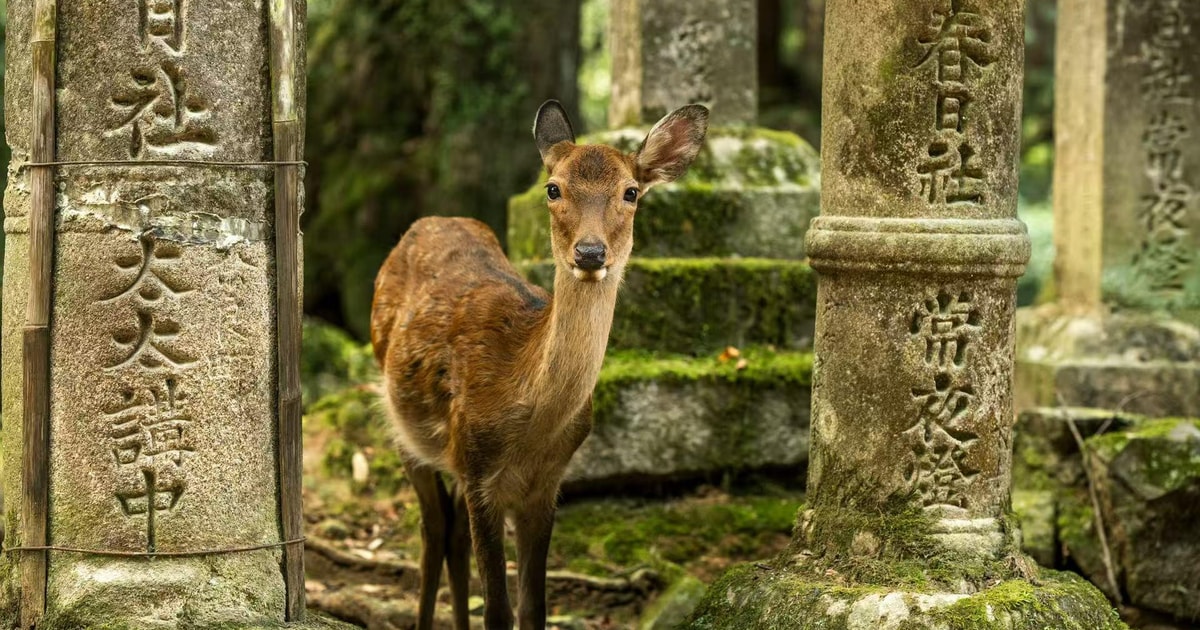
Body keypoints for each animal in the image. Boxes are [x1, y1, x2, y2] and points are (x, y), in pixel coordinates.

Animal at [370, 100, 708, 629]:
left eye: (631, 192)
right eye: (553, 188)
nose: (590, 252)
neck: (530, 426)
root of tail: (431, 219)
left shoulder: (545, 486)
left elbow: (533, 608)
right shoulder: (479, 470)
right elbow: (498, 610)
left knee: (453, 535)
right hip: (400, 421)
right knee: (432, 529)